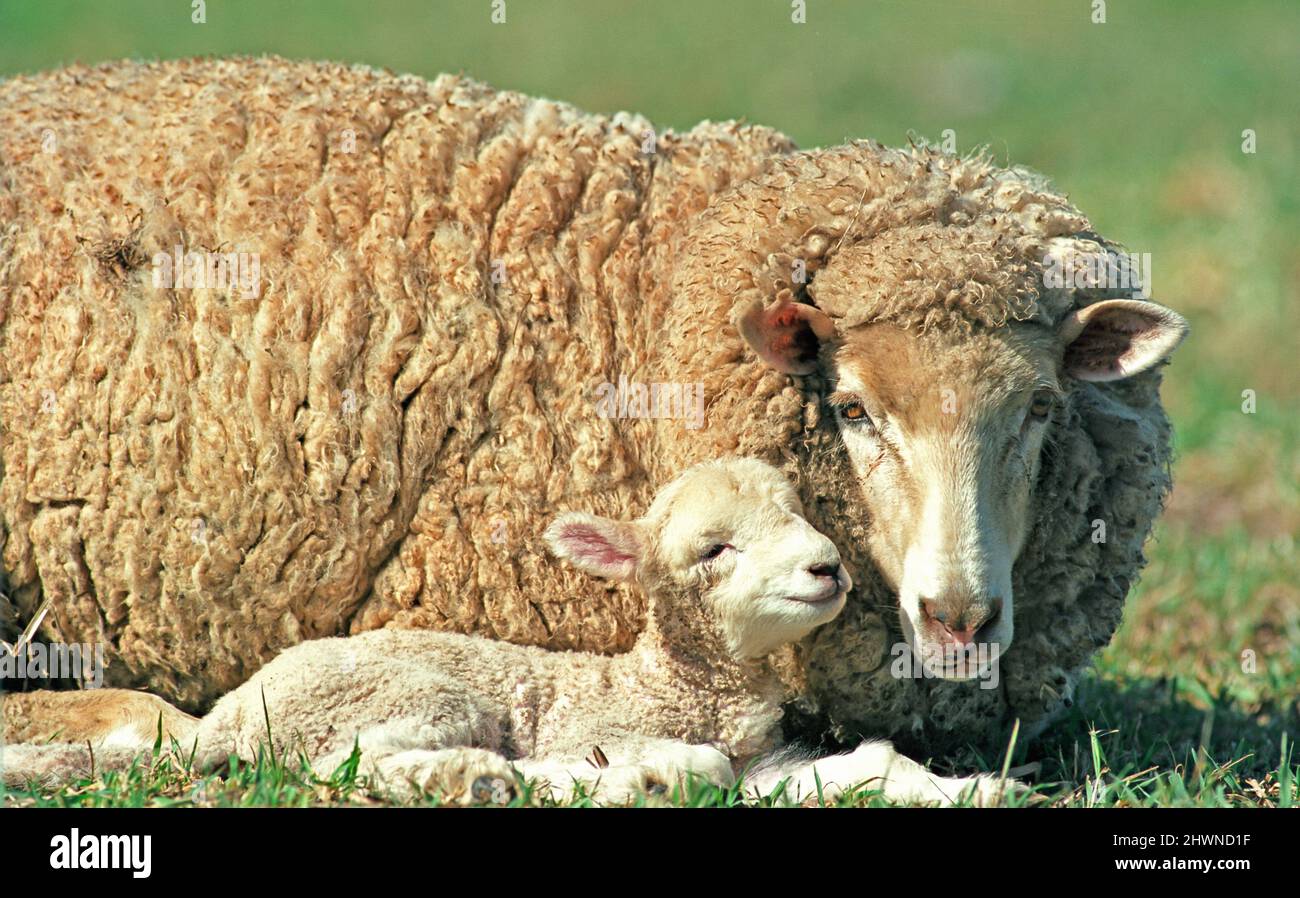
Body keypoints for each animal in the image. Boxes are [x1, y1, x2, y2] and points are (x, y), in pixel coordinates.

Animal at [2, 458, 1011, 805]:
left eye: (799, 508)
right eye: (712, 550)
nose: (827, 568)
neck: (673, 684)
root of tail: (226, 715)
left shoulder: (768, 761)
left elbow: (852, 769)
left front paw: (972, 789)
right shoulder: (605, 724)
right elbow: (704, 769)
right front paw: (653, 773)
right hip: (411, 694)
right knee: (350, 766)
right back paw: (499, 779)